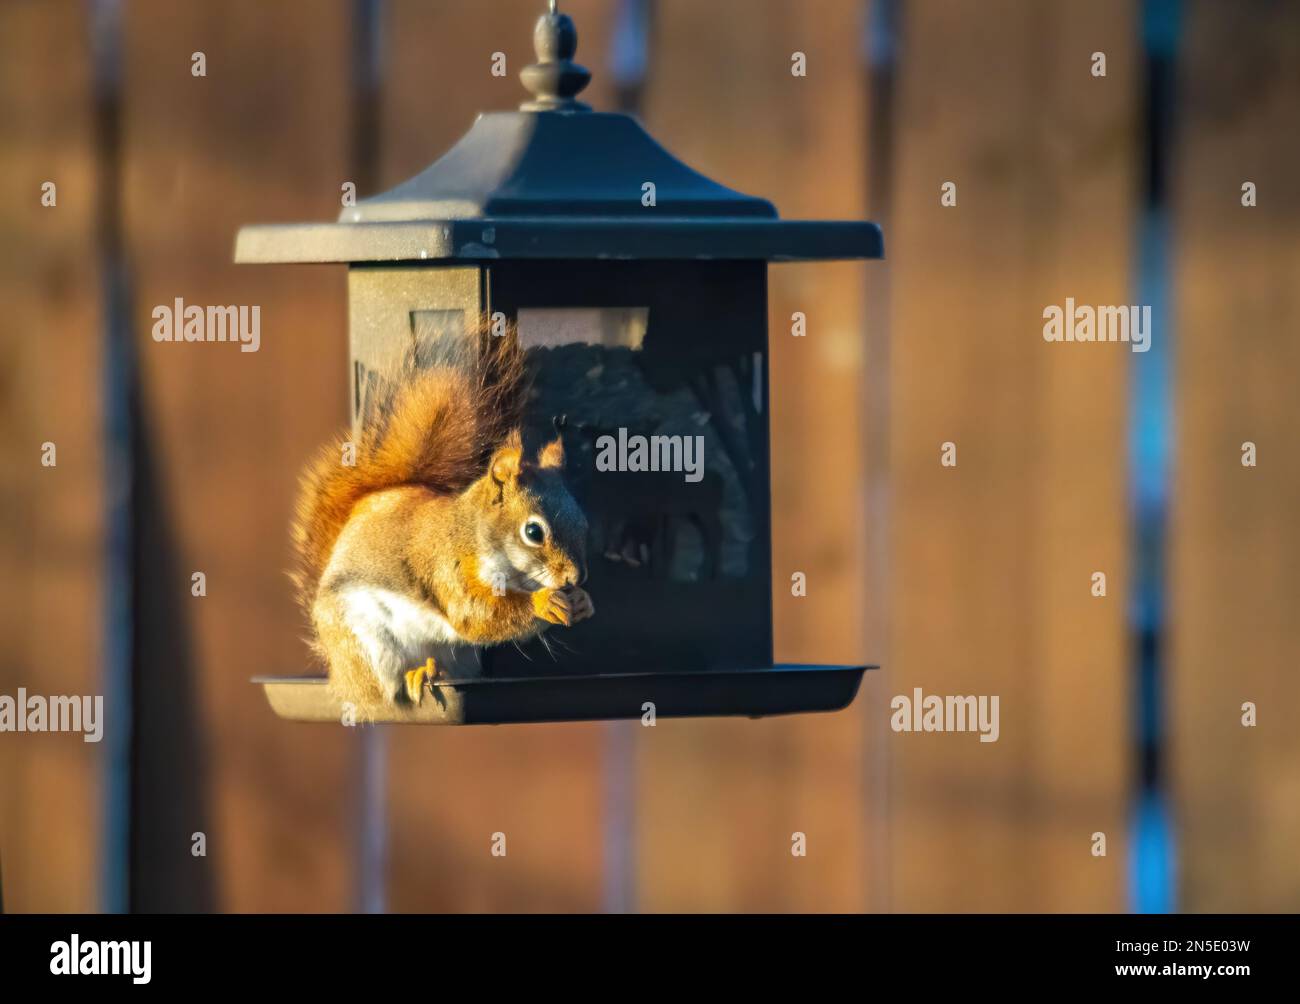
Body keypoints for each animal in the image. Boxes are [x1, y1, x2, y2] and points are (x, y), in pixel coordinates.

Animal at [290, 323, 594, 713]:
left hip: (457, 656)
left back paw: (433, 671)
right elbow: (476, 614)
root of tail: (337, 670)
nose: (576, 577)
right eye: (533, 532)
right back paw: (411, 677)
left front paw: (582, 602)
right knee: (380, 691)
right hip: (363, 643)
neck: (475, 534)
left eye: (583, 523)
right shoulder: (448, 566)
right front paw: (544, 603)